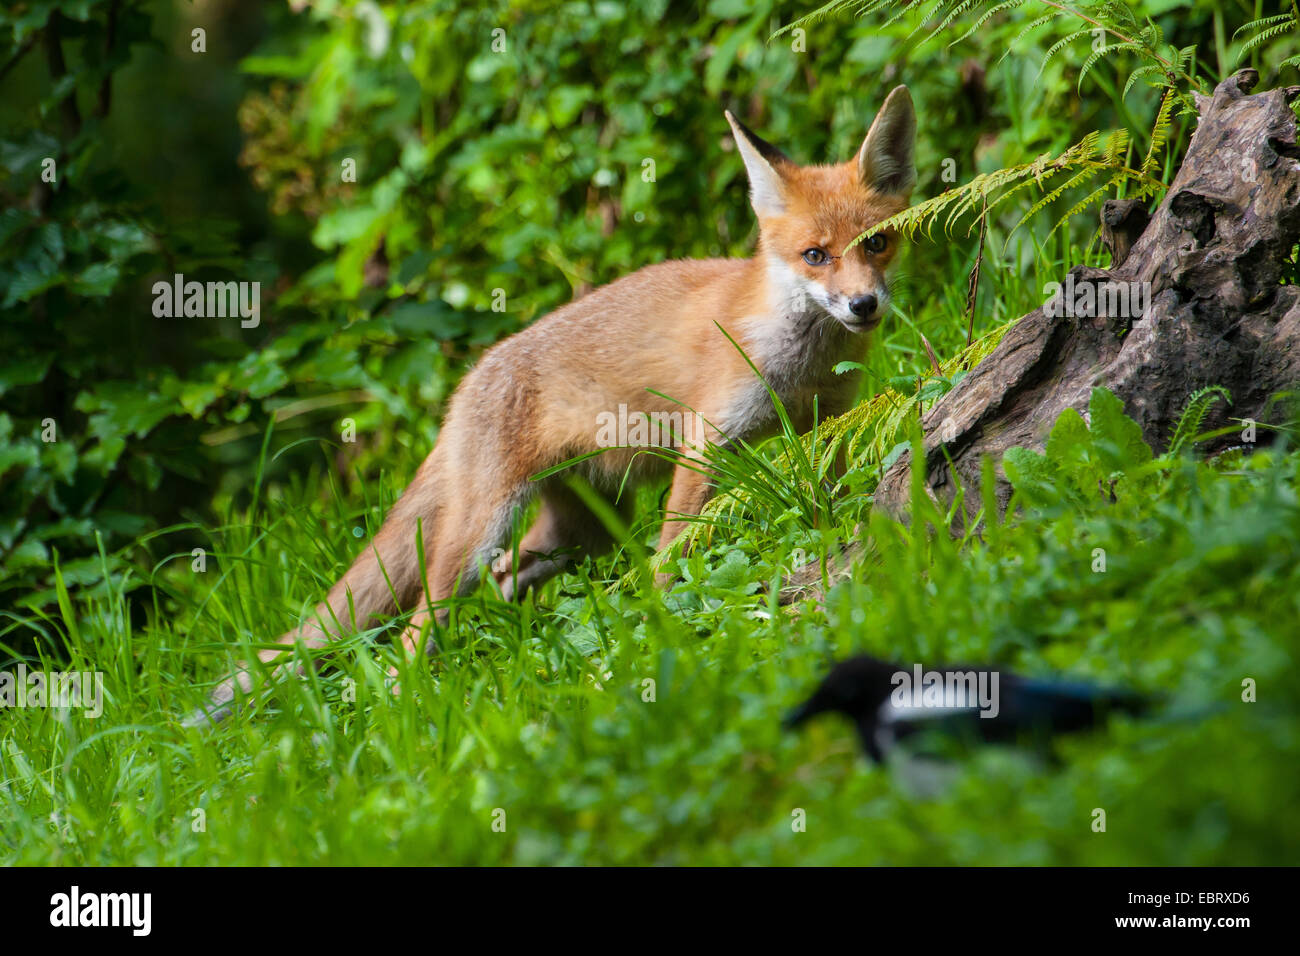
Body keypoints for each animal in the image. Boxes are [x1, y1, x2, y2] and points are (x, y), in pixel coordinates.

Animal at [185, 86, 918, 725]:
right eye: (815, 256)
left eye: (878, 243)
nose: (863, 306)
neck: (796, 355)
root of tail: (462, 390)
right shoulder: (706, 443)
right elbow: (674, 550)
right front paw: (663, 623)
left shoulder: (830, 420)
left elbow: (831, 489)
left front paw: (844, 525)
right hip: (484, 529)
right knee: (418, 624)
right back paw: (408, 698)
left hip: (579, 533)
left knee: (506, 579)